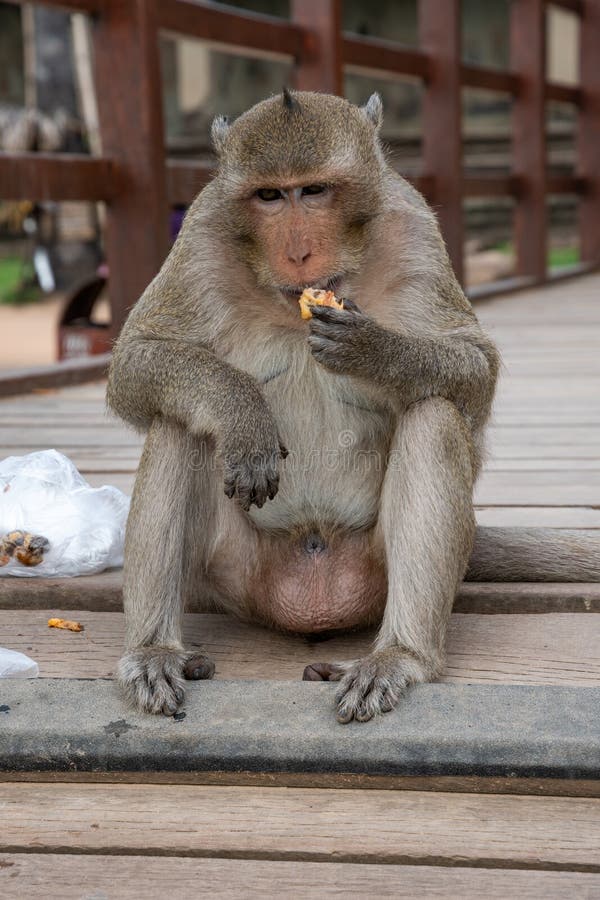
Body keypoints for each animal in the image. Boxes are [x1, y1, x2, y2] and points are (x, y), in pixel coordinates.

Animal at [107, 89, 600, 723]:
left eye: (315, 190)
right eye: (270, 196)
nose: (299, 251)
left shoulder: (413, 227)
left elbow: (474, 369)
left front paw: (376, 350)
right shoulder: (201, 233)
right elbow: (136, 363)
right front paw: (241, 411)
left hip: (371, 573)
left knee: (433, 414)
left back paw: (401, 657)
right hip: (235, 572)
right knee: (177, 423)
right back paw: (152, 649)